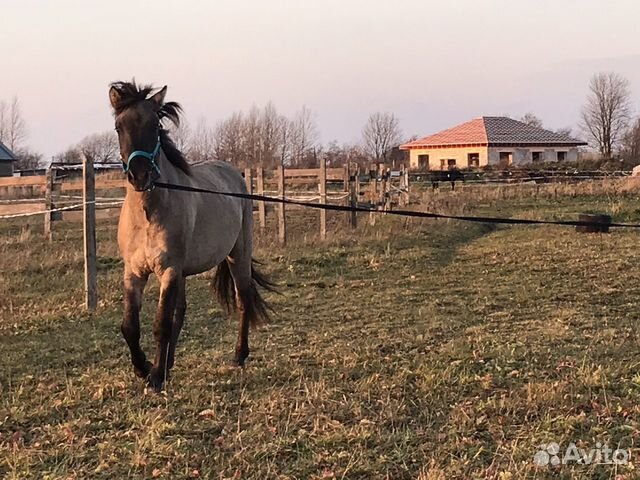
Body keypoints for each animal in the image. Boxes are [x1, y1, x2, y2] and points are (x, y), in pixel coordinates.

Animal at [109, 80, 273, 392]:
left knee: (243, 299)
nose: (140, 176)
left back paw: (239, 355)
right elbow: (129, 326)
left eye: (154, 124)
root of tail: (234, 172)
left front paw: (155, 377)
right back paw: (169, 363)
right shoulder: (133, 272)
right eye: (118, 126)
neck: (148, 214)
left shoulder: (169, 270)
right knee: (181, 311)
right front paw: (144, 367)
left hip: (237, 255)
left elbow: (161, 324)